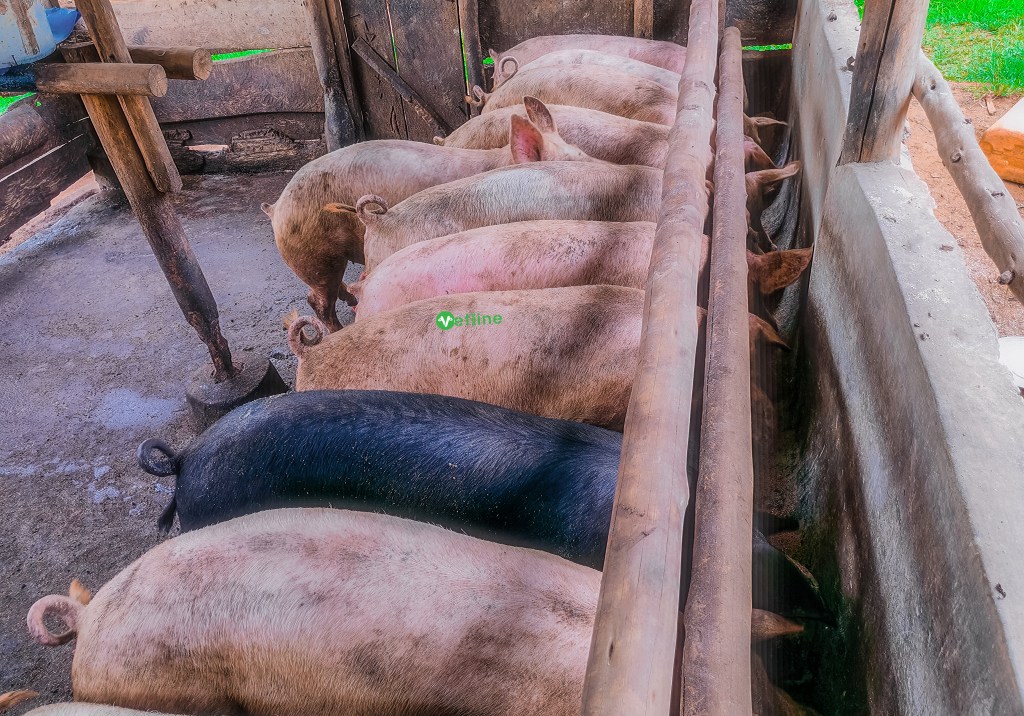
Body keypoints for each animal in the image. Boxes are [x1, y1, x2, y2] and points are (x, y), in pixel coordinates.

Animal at [261, 105, 595, 331]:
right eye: (571, 162)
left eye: (579, 150)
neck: (501, 159)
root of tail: (276, 207)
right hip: (315, 255)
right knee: (317, 301)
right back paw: (336, 330)